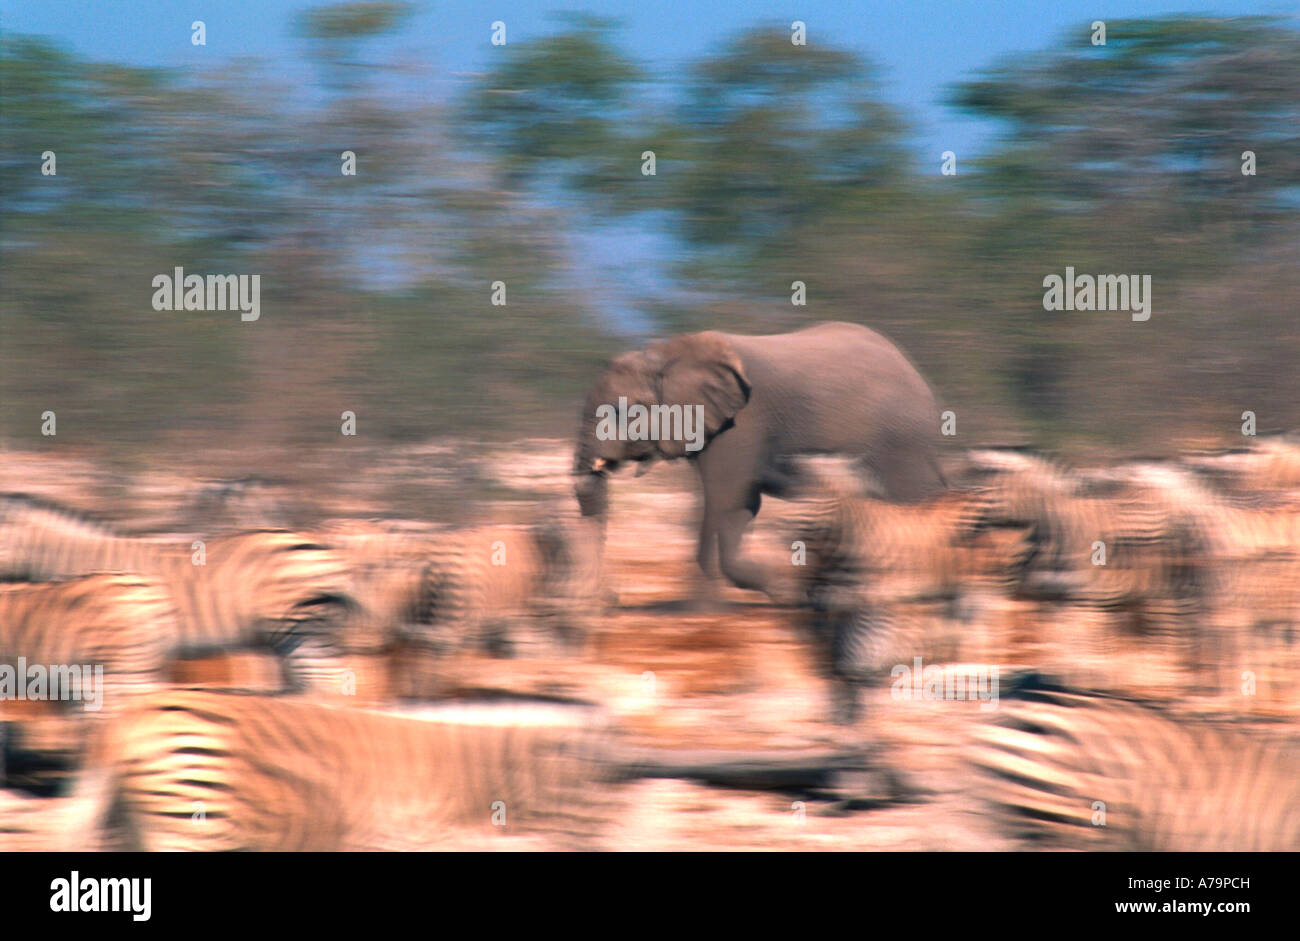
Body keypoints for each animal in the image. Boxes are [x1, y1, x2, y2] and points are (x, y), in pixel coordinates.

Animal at [572, 321, 947, 599]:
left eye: (620, 411)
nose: (612, 597)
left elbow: (728, 497)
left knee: (912, 502)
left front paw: (781, 590)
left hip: (901, 441)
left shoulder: (745, 422)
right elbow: (738, 504)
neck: (665, 354)